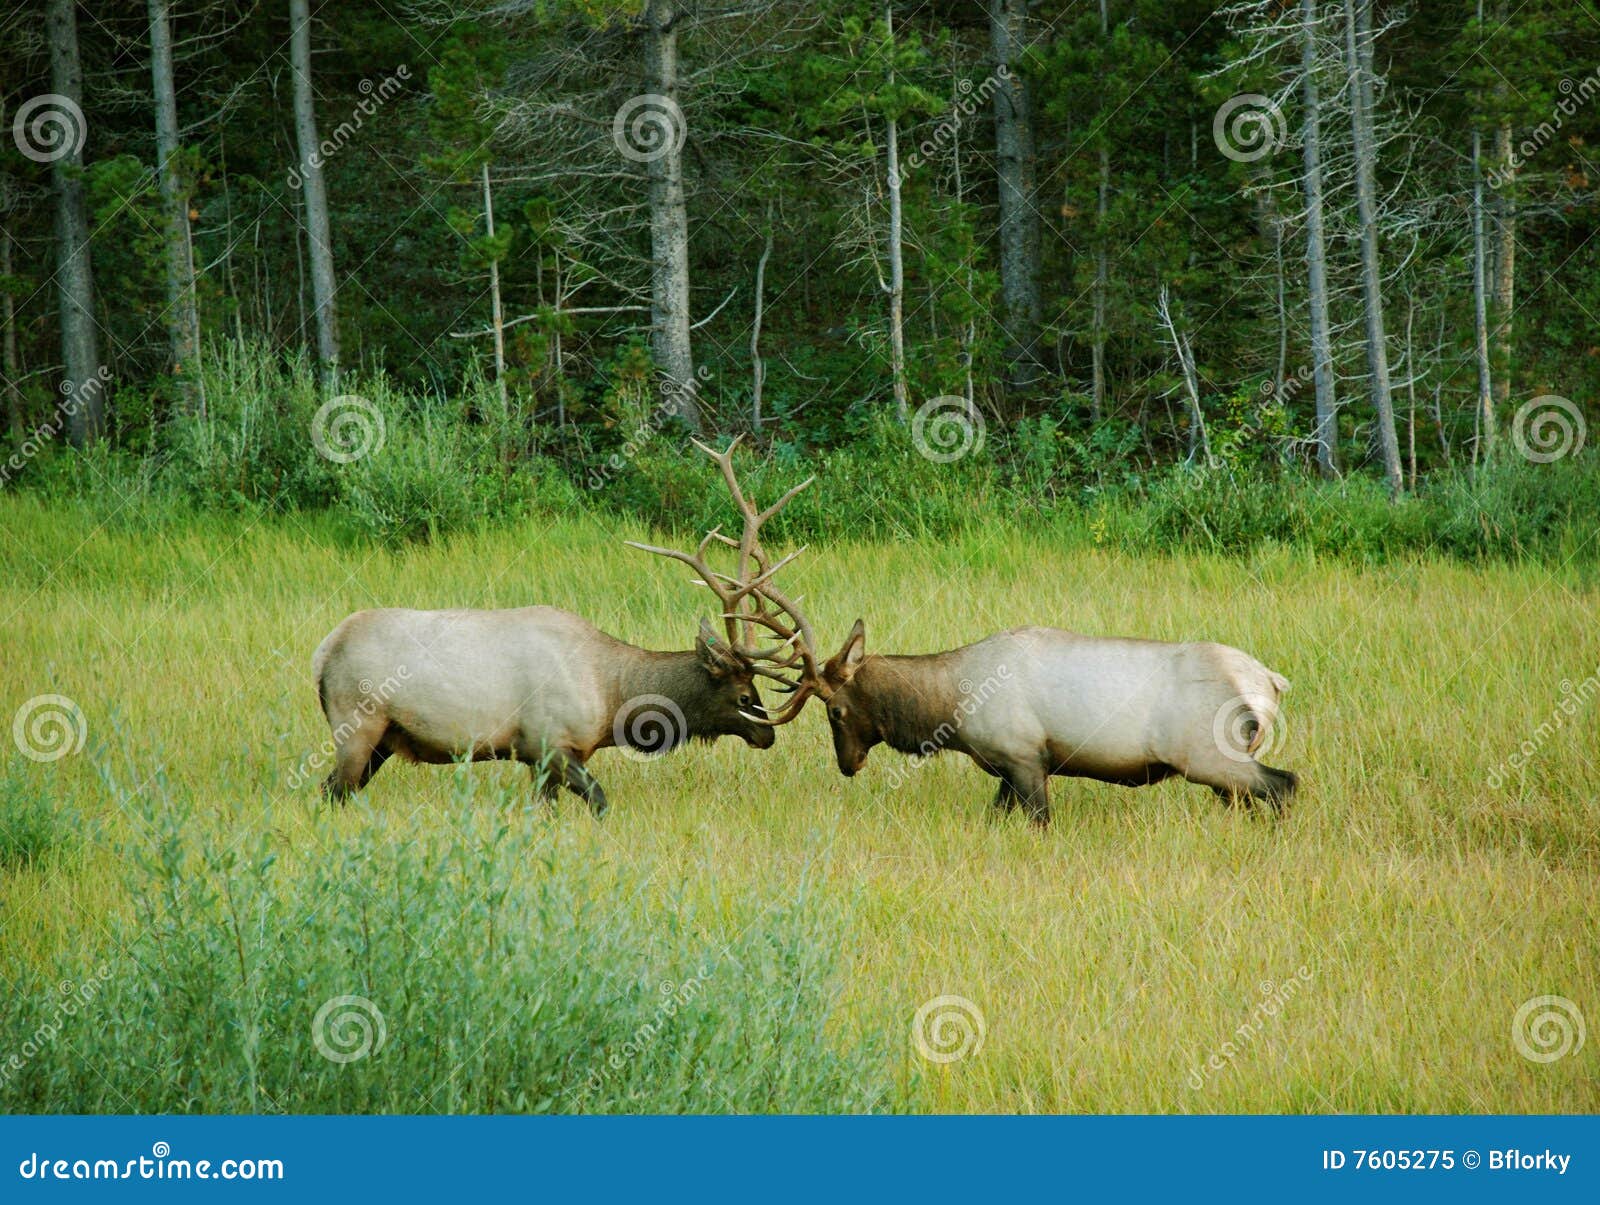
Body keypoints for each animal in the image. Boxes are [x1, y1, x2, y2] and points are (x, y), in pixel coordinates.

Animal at [310, 441, 809, 815]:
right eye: (744, 696)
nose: (768, 735)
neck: (613, 699)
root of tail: (323, 652)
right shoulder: (550, 743)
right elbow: (600, 801)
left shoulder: (540, 760)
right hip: (357, 726)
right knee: (332, 791)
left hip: (383, 740)